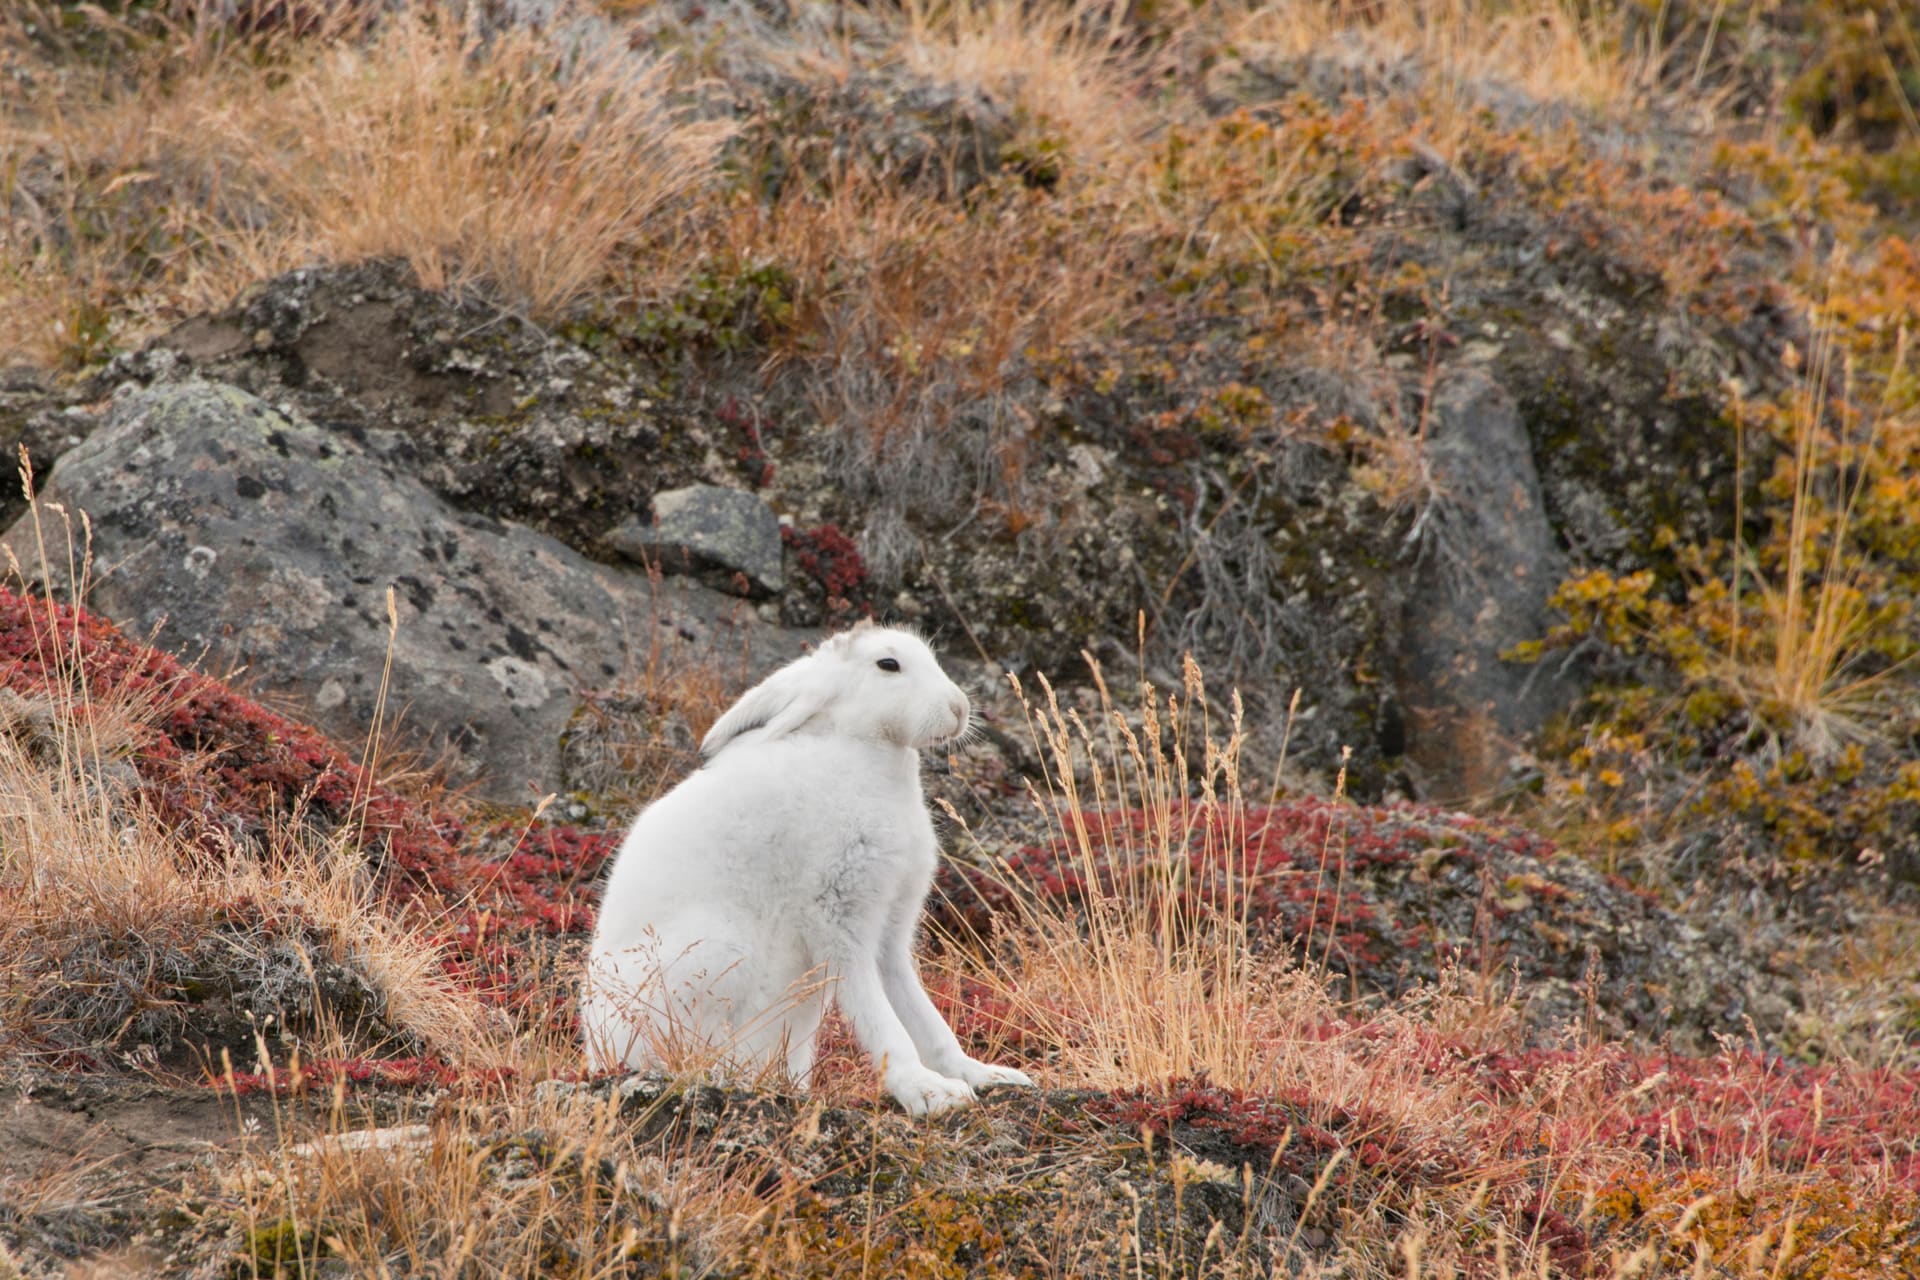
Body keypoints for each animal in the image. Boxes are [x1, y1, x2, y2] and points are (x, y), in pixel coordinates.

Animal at [580, 621, 1036, 1116]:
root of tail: (598, 1051)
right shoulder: (835, 914)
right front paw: (927, 1092)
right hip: (718, 951)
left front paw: (983, 1076)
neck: (861, 746)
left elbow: (922, 1013)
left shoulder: (890, 931)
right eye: (888, 664)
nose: (959, 708)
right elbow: (877, 1014)